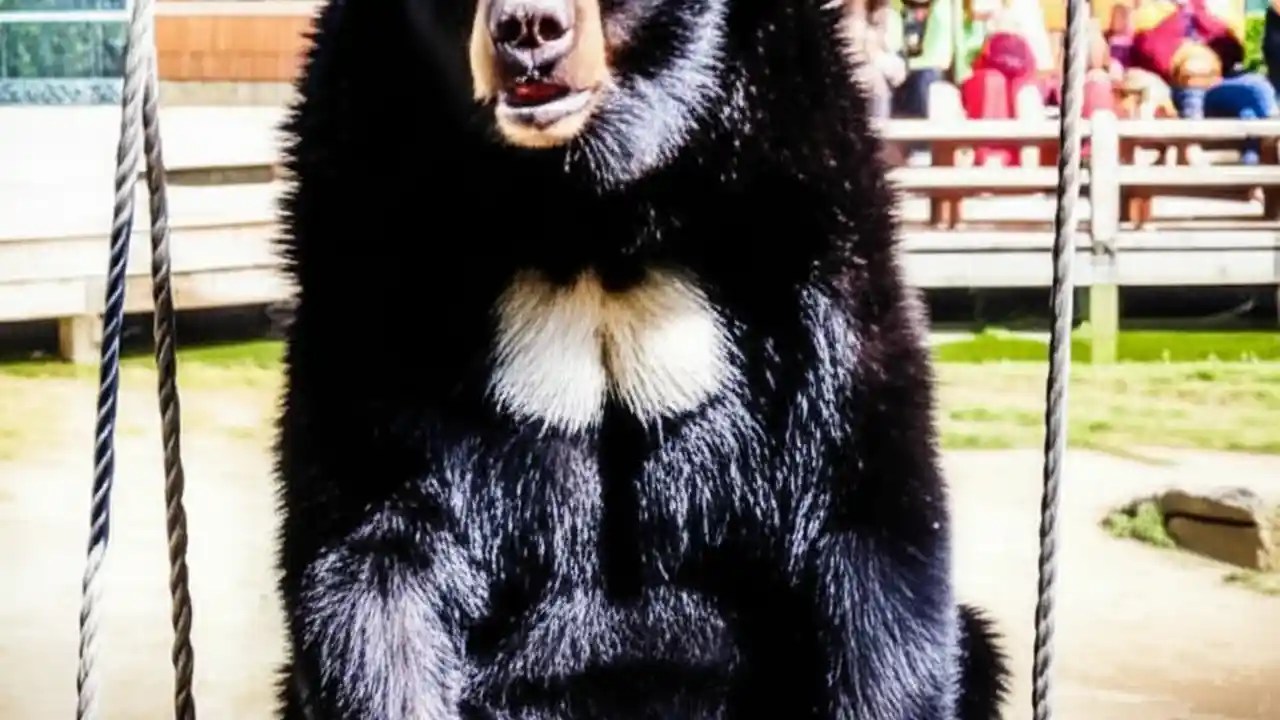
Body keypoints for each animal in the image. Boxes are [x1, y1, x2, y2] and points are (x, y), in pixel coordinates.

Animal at [271, 0, 1010, 716]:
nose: (528, 29)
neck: (587, 209)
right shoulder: (367, 225)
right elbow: (378, 526)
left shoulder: (811, 220)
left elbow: (857, 504)